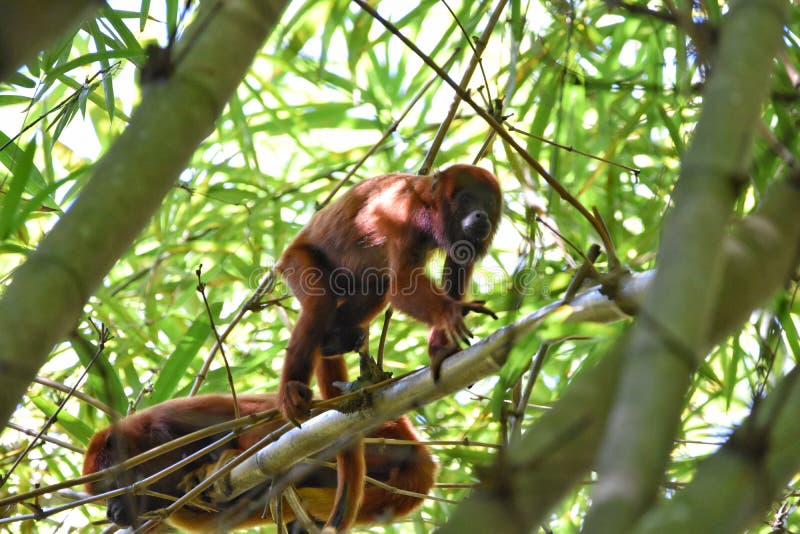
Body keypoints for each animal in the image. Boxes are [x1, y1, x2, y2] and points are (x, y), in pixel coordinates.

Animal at [82, 394, 436, 532]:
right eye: (99, 497)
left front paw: (218, 461)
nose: (109, 512)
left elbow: (264, 420)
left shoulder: (171, 416)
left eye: (110, 486)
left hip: (383, 432)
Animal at [274, 164, 500, 530]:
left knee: (372, 286)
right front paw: (449, 314)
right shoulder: (402, 215)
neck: (429, 210)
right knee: (321, 302)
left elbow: (455, 269)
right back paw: (292, 389)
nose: (480, 214)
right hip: (297, 262)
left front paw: (443, 348)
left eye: (488, 202)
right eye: (466, 199)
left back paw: (336, 340)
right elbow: (403, 281)